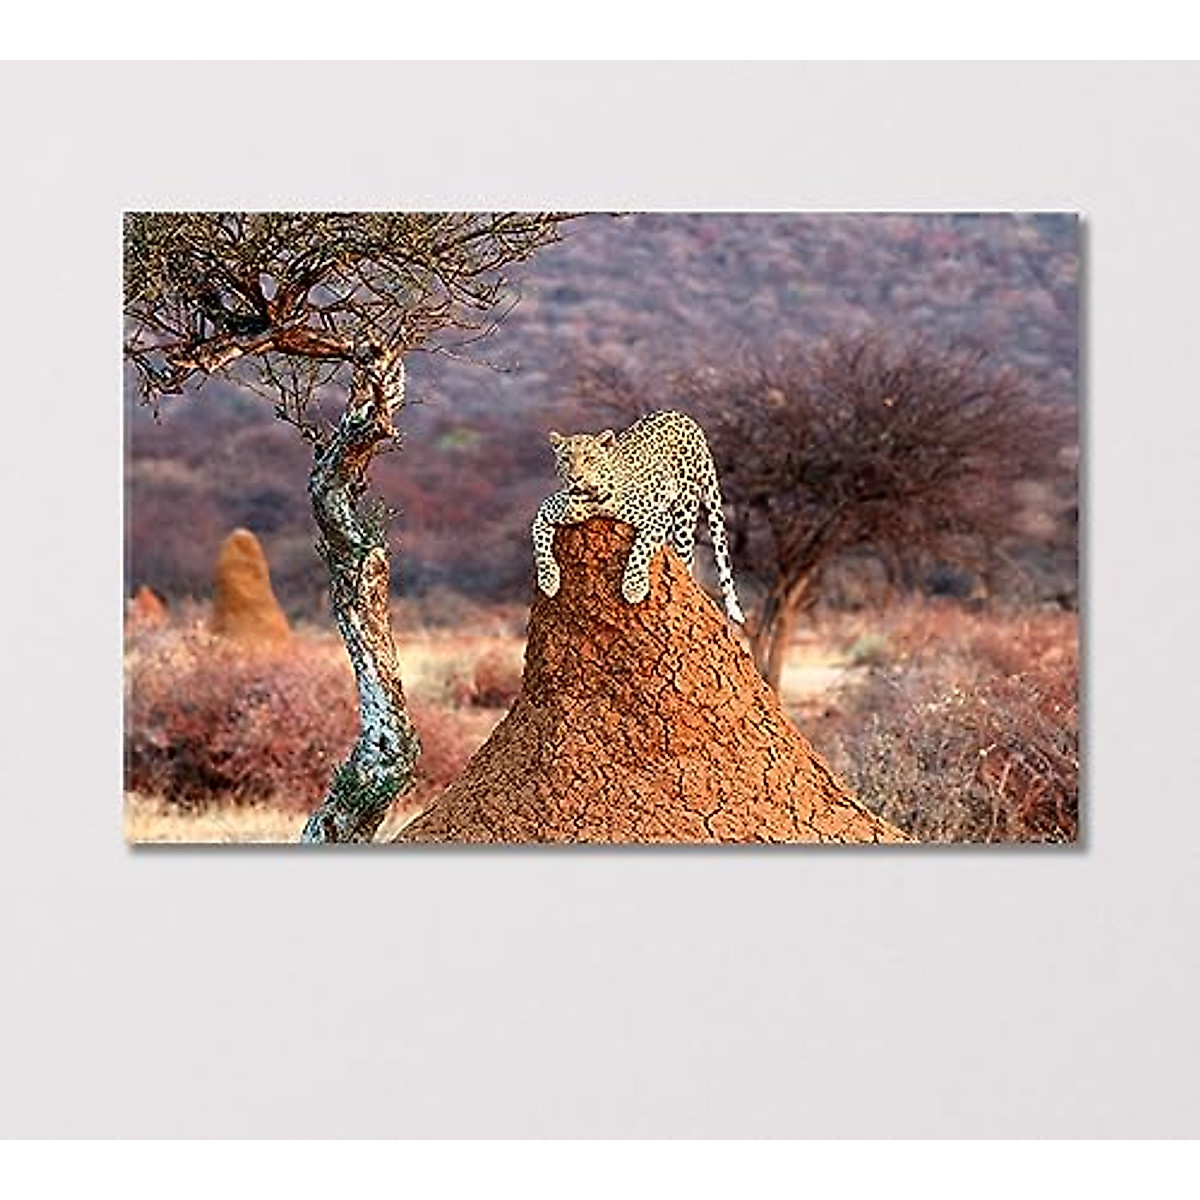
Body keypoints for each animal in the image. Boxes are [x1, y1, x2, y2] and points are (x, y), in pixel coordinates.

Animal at [531, 409, 745, 624]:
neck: (590, 500)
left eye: (589, 459)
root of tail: (683, 417)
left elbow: (640, 551)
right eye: (566, 459)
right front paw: (548, 581)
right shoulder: (545, 510)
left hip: (685, 510)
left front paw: (633, 588)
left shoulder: (658, 518)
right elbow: (540, 547)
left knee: (687, 558)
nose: (575, 478)